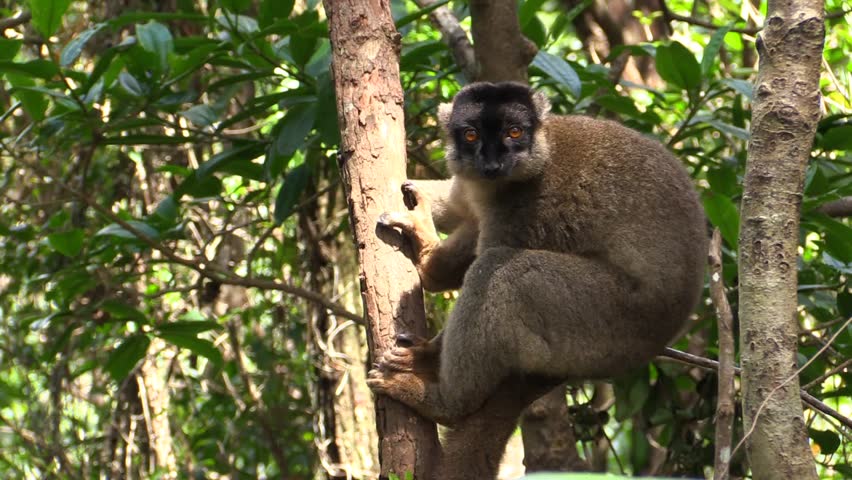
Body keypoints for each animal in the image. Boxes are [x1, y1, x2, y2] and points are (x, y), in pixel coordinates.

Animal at [368, 82, 707, 479]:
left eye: (515, 133)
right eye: (471, 135)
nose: (492, 165)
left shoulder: (530, 208)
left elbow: (484, 258)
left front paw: (425, 254)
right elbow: (460, 206)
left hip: (604, 323)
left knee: (501, 273)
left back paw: (443, 399)